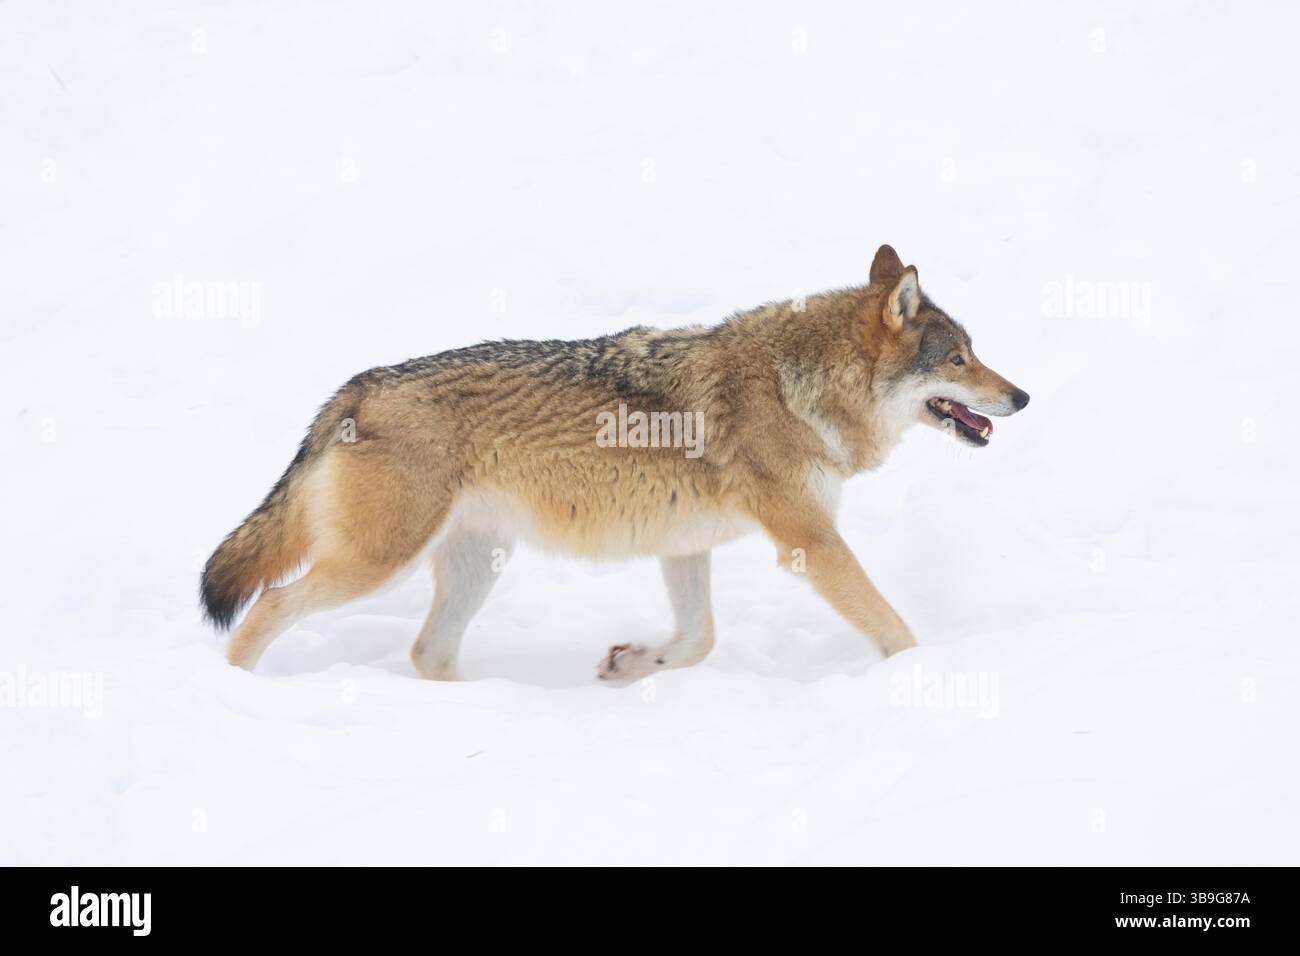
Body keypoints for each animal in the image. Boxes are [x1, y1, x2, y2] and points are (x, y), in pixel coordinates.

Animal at [201, 245, 1029, 681]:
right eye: (960, 359)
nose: (1021, 395)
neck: (802, 385)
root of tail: (358, 385)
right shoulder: (810, 544)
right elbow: (895, 630)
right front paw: (925, 675)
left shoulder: (685, 545)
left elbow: (697, 640)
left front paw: (631, 665)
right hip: (380, 563)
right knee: (270, 605)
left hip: (475, 563)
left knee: (426, 651)